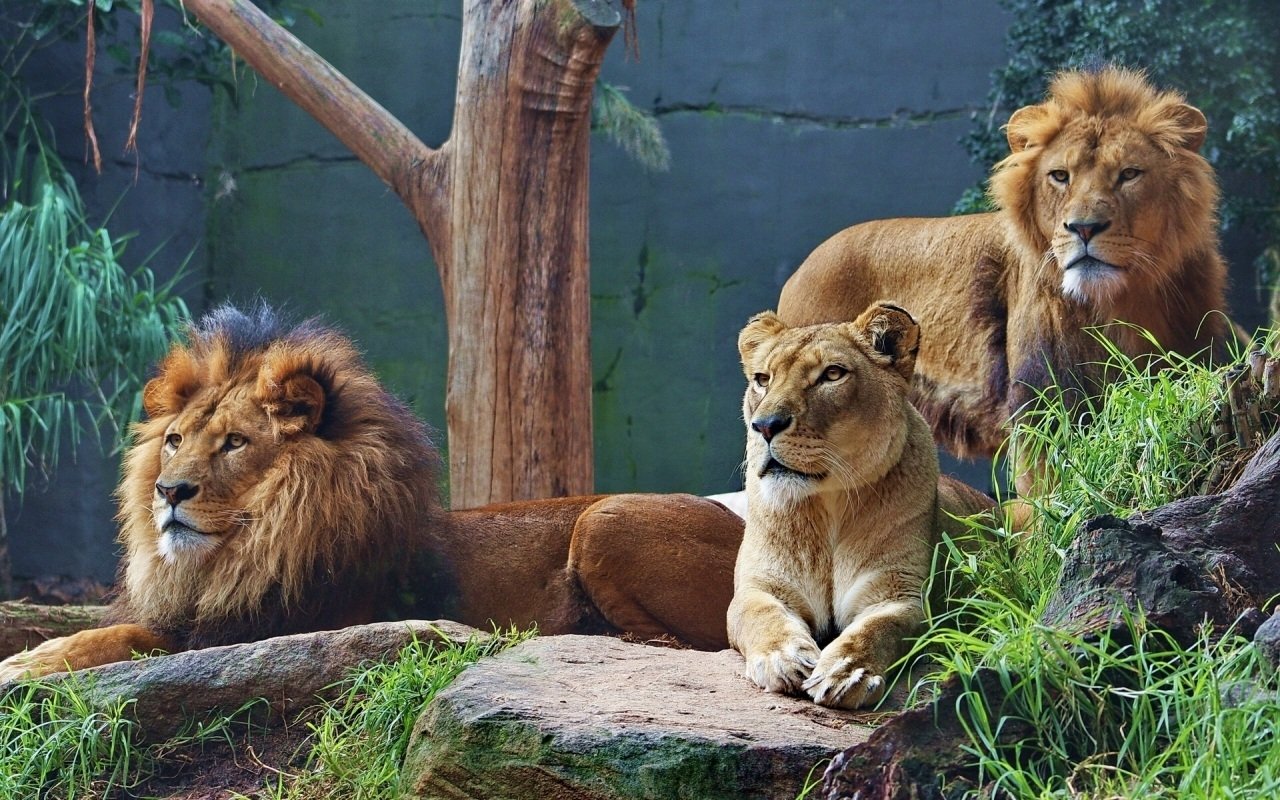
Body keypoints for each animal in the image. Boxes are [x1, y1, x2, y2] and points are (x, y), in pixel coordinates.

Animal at [0, 303, 743, 680]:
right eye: (176, 439)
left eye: (235, 443)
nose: (167, 491)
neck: (239, 552)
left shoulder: (283, 624)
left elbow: (126, 637)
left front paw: (24, 666)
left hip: (606, 517)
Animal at [728, 303, 994, 709]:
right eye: (762, 379)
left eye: (832, 374)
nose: (765, 426)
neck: (827, 504)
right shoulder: (761, 586)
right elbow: (761, 615)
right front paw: (783, 658)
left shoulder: (898, 594)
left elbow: (877, 629)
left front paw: (846, 673)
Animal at [777, 66, 1236, 482]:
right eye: (1060, 176)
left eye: (1129, 174)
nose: (1084, 228)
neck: (1118, 304)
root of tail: (798, 272)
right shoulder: (1041, 404)